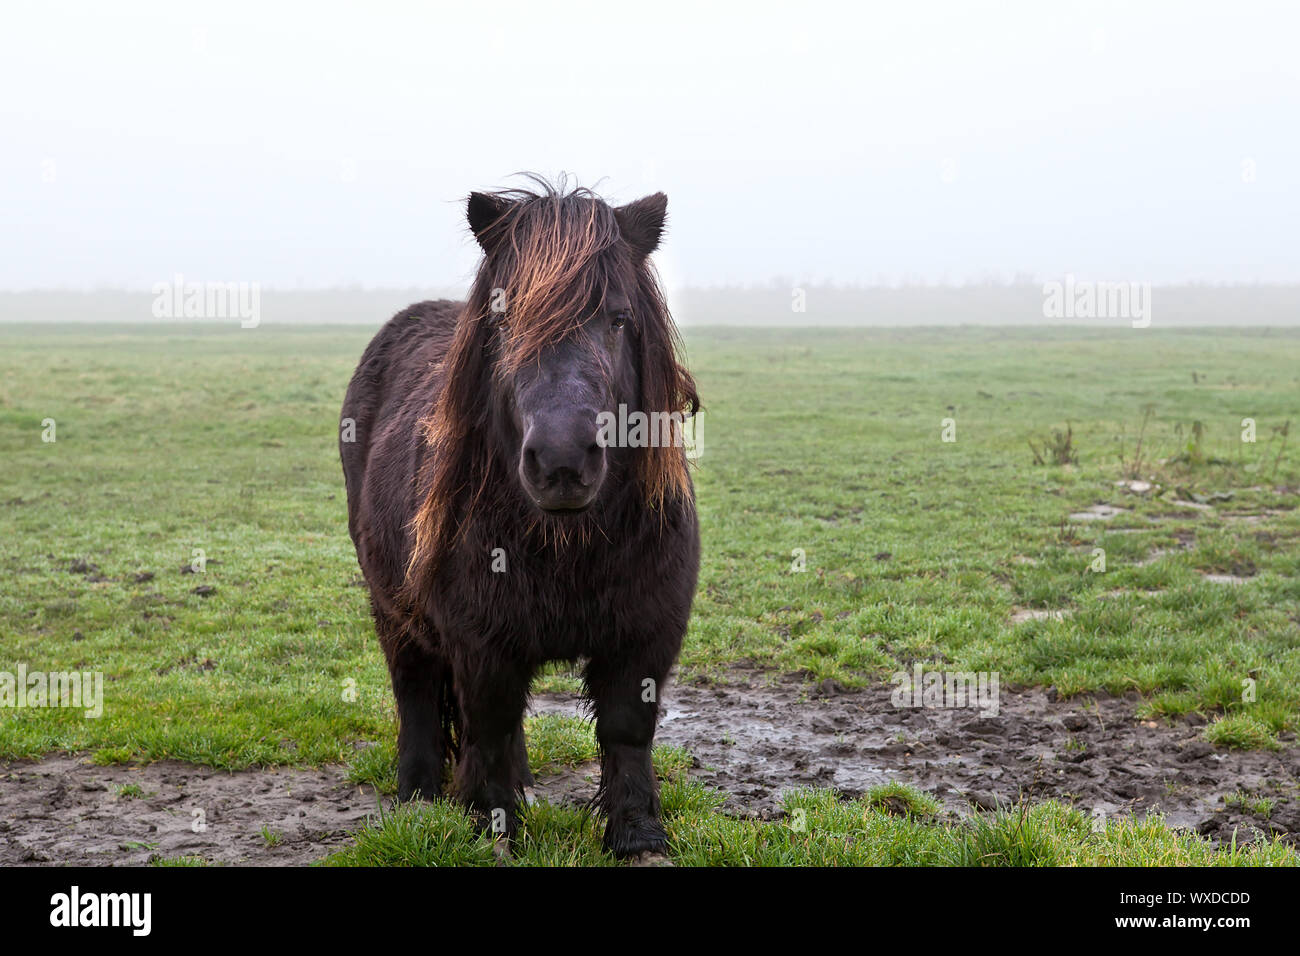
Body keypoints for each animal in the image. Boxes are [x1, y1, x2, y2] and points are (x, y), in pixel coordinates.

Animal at [339, 177, 700, 858]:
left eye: (619, 319)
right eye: (505, 318)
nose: (561, 460)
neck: (569, 543)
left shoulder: (645, 633)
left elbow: (626, 731)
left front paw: (638, 835)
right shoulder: (480, 640)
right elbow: (486, 726)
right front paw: (492, 827)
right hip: (392, 606)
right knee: (416, 690)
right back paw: (418, 797)